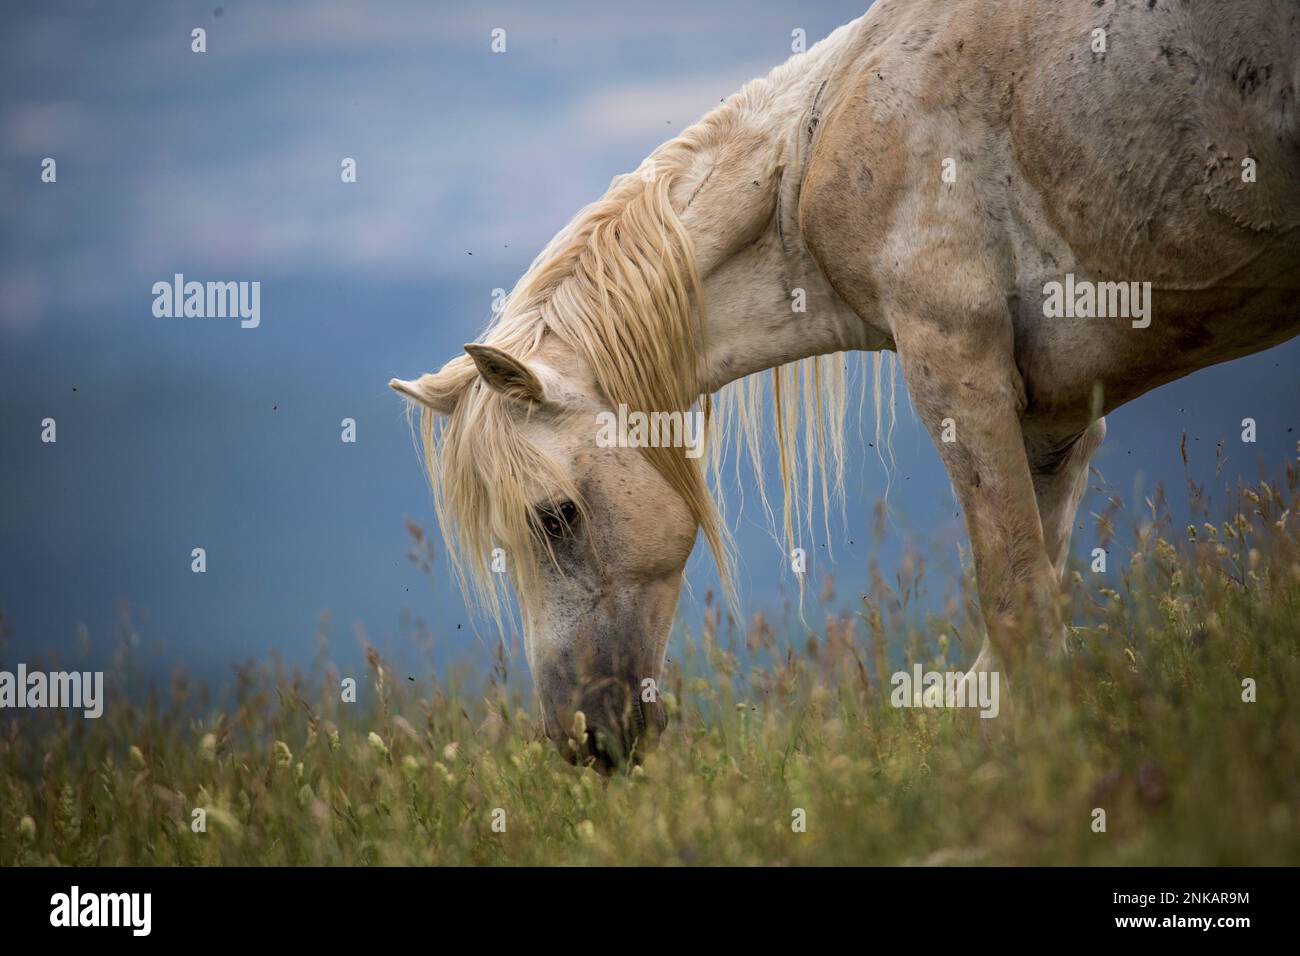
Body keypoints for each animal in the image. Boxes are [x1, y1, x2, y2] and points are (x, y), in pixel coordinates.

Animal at [391, 0, 1300, 767]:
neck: (823, 141)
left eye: (555, 517)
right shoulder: (1058, 421)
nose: (582, 740)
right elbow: (1025, 616)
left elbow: (1016, 611)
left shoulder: (956, 372)